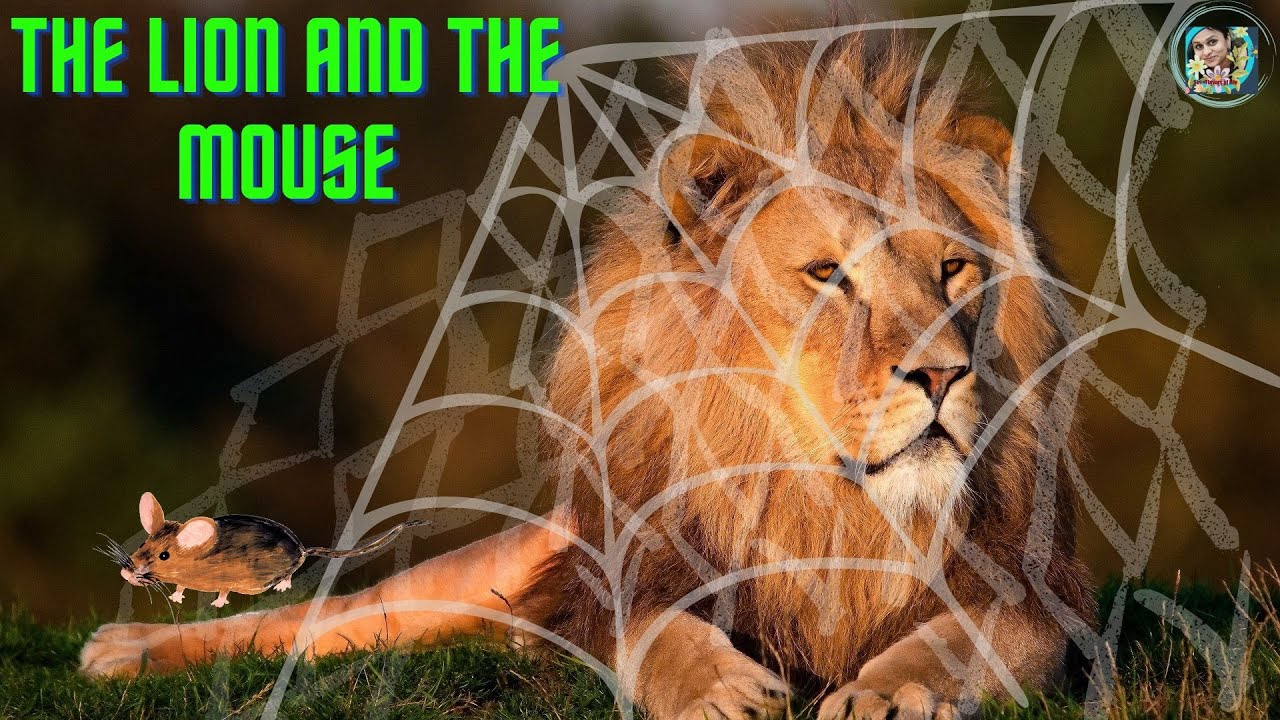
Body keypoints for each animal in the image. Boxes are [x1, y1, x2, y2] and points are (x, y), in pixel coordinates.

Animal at [80, 33, 1096, 720]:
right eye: (826, 275)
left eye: (952, 270)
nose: (943, 376)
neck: (825, 501)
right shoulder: (618, 578)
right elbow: (655, 636)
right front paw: (720, 687)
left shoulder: (1039, 593)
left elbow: (968, 640)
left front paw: (889, 691)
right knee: (323, 620)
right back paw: (122, 647)